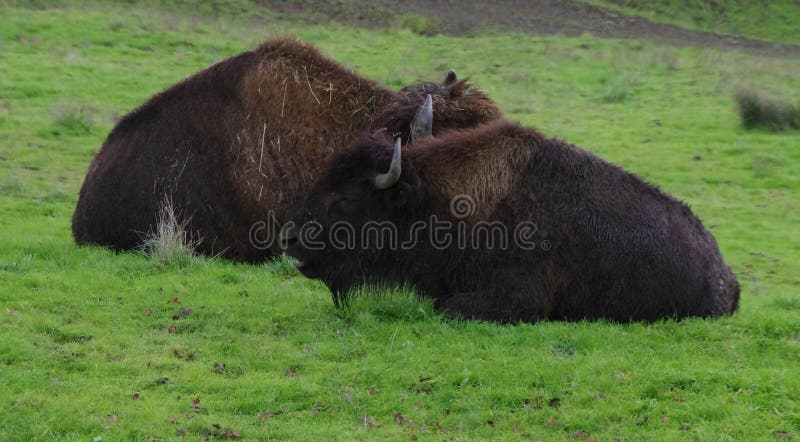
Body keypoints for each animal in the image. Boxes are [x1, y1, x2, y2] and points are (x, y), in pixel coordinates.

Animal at [282, 120, 740, 323]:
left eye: (346, 196)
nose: (290, 239)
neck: (436, 202)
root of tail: (725, 276)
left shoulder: (517, 298)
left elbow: (445, 306)